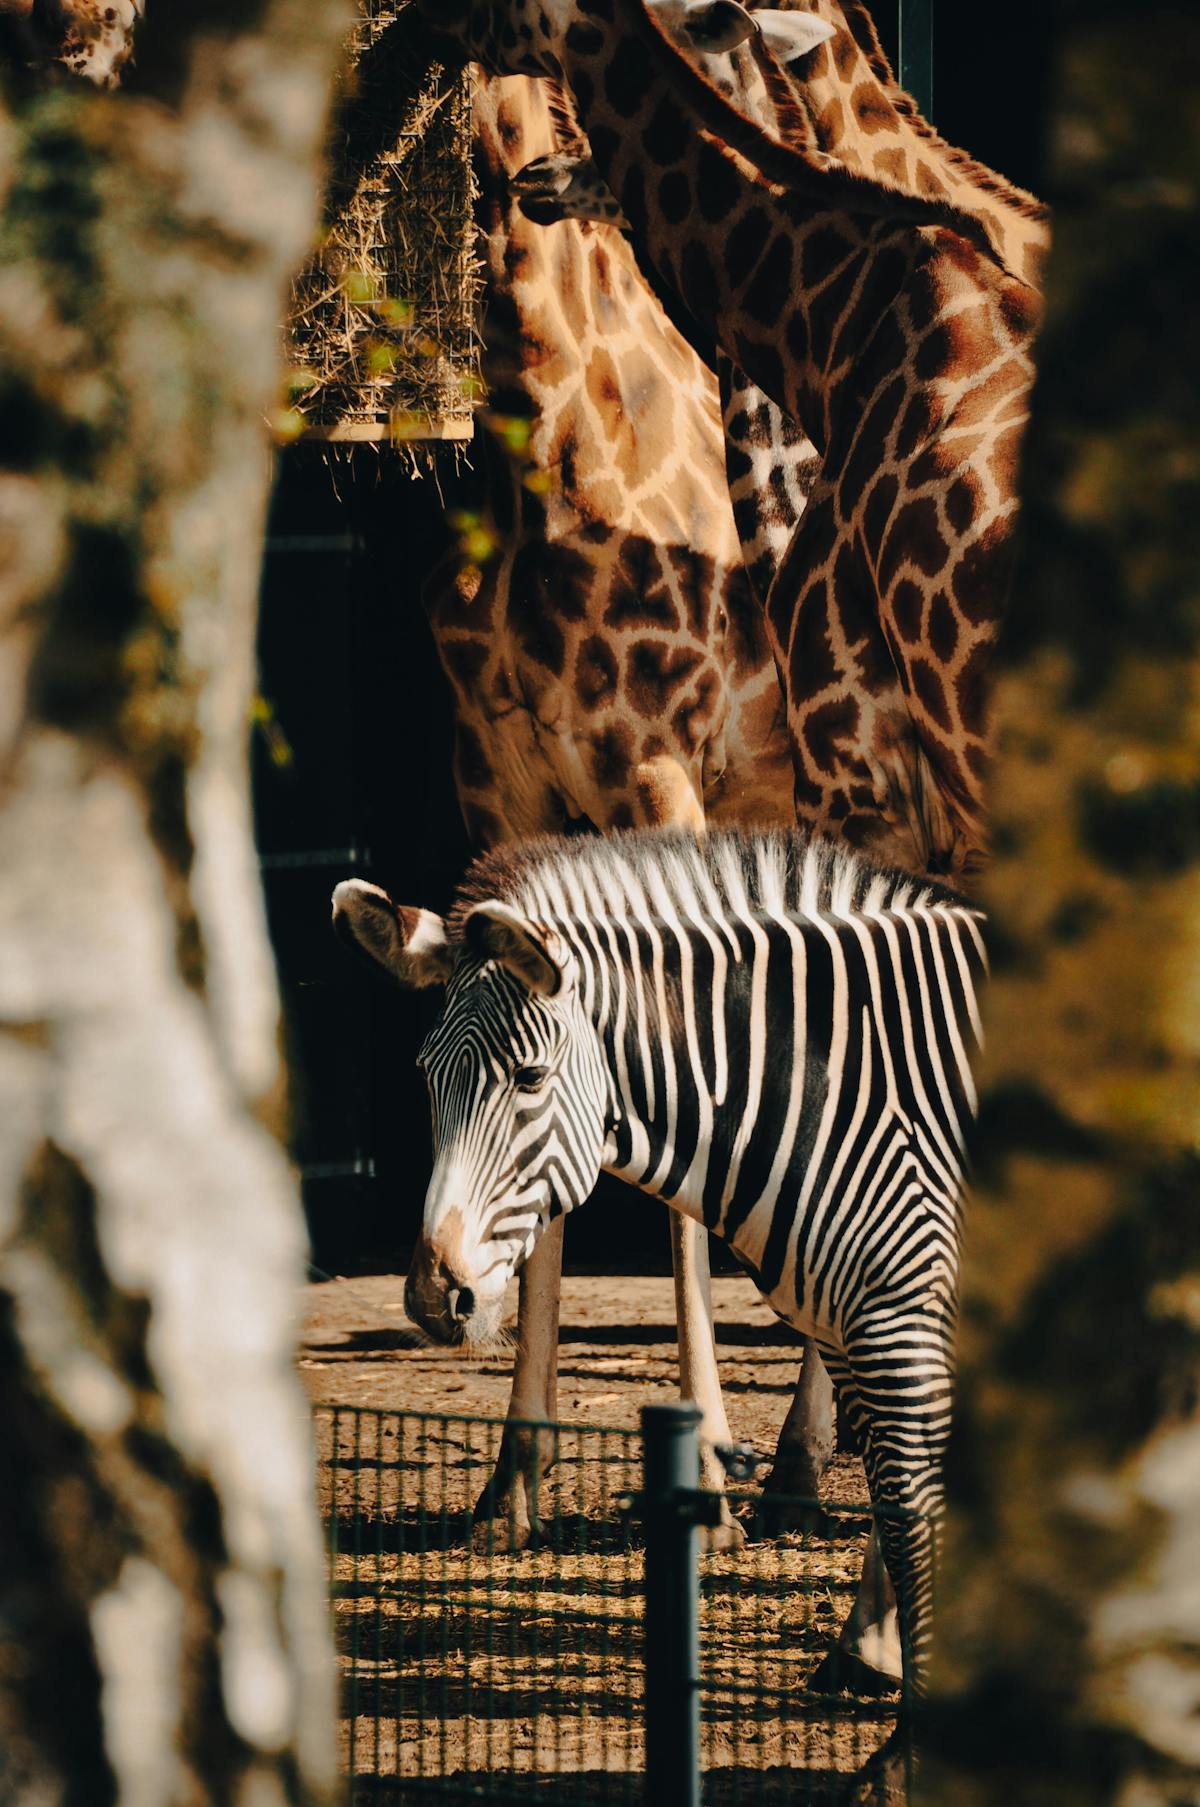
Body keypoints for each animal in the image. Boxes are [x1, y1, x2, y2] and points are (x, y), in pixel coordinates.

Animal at [332, 824, 985, 1690]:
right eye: (424, 1074)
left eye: (530, 1075)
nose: (435, 1297)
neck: (847, 1083)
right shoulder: (857, 1329)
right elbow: (899, 1504)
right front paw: (872, 1646)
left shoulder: (904, 1320)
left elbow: (916, 1519)